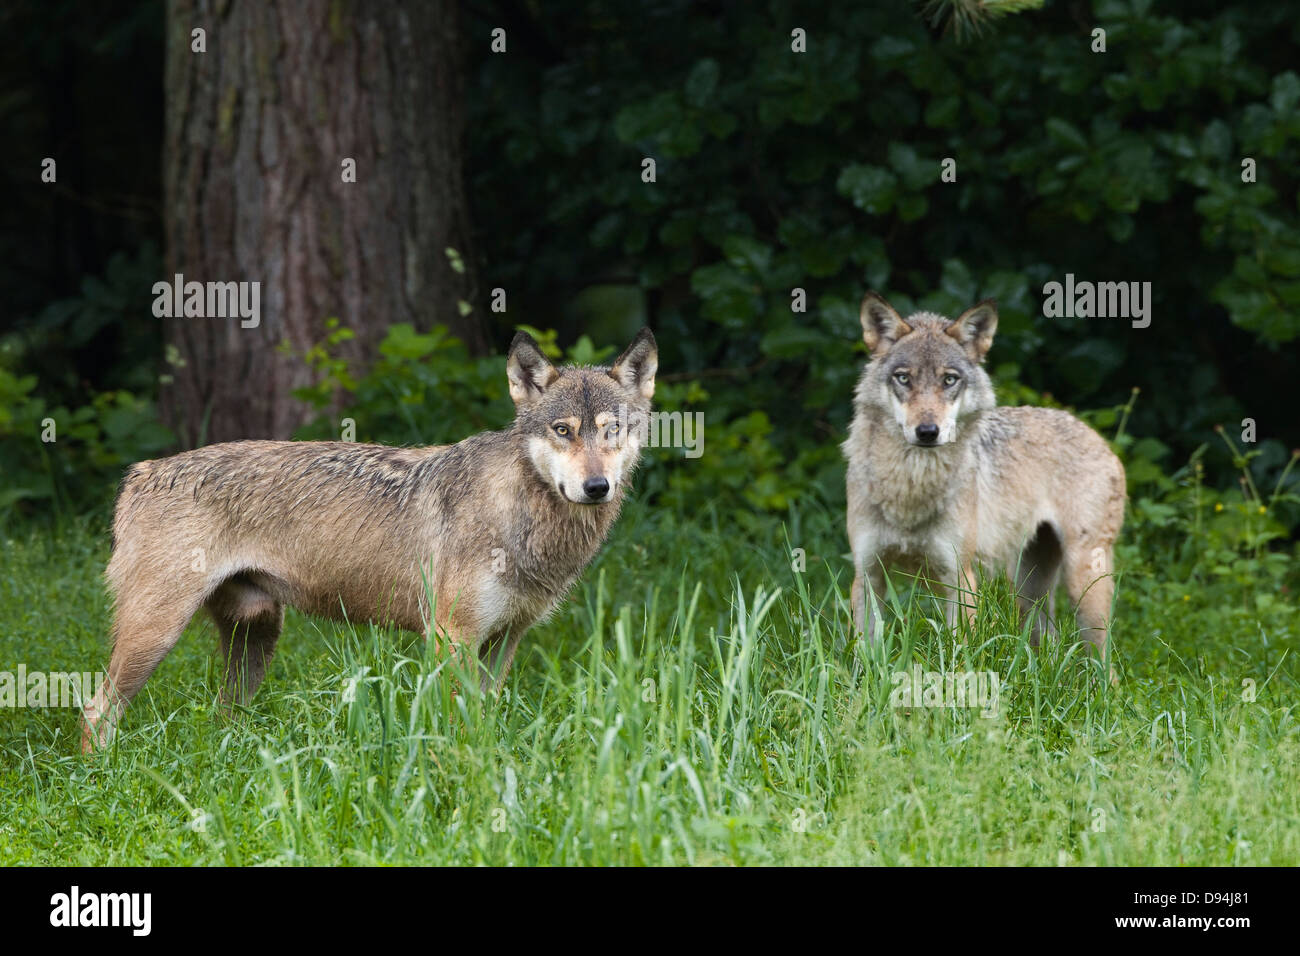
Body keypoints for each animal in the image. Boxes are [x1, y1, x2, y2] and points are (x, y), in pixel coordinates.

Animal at [81, 328, 657, 751]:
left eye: (612, 430)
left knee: (224, 715)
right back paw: (101, 781)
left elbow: (486, 723)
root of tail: (141, 472)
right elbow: (458, 731)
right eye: (563, 430)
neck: (520, 513)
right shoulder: (451, 639)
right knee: (95, 708)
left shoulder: (503, 642)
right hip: (158, 635)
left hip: (257, 638)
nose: (597, 487)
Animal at [843, 292, 1125, 663]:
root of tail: (1097, 436)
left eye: (949, 380)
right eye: (904, 378)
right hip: (1027, 591)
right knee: (1048, 646)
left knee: (1105, 662)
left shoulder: (959, 577)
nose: (927, 431)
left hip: (1082, 585)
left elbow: (956, 654)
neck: (910, 490)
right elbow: (866, 656)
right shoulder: (868, 574)